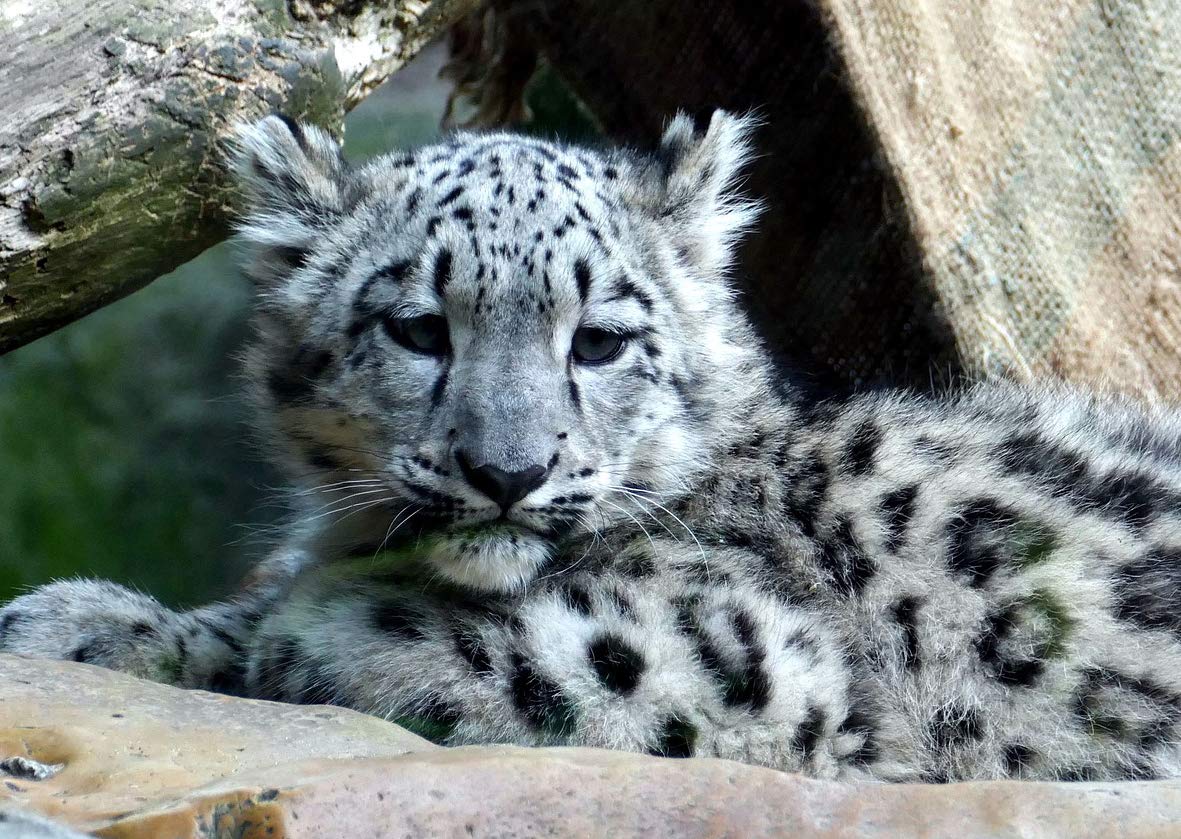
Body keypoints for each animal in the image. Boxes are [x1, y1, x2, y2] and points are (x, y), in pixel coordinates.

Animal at [4, 110, 1181, 784]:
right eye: (418, 328)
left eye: (600, 339)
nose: (507, 472)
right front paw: (81, 620)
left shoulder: (738, 661)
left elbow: (422, 640)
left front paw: (298, 621)